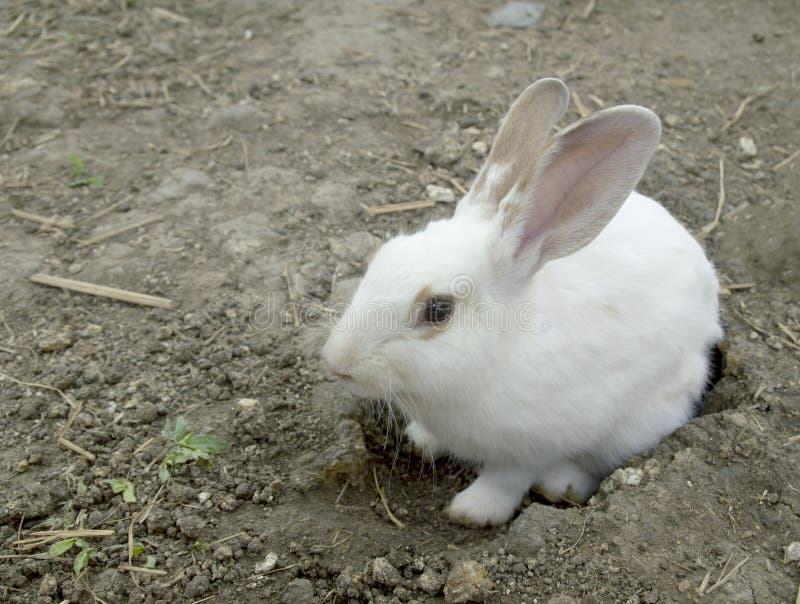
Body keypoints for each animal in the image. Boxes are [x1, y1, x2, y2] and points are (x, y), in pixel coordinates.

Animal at [322, 78, 722, 526]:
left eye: (439, 309)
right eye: (381, 256)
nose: (335, 362)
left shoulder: (536, 444)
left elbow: (508, 478)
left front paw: (471, 511)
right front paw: (421, 441)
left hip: (642, 420)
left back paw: (562, 484)